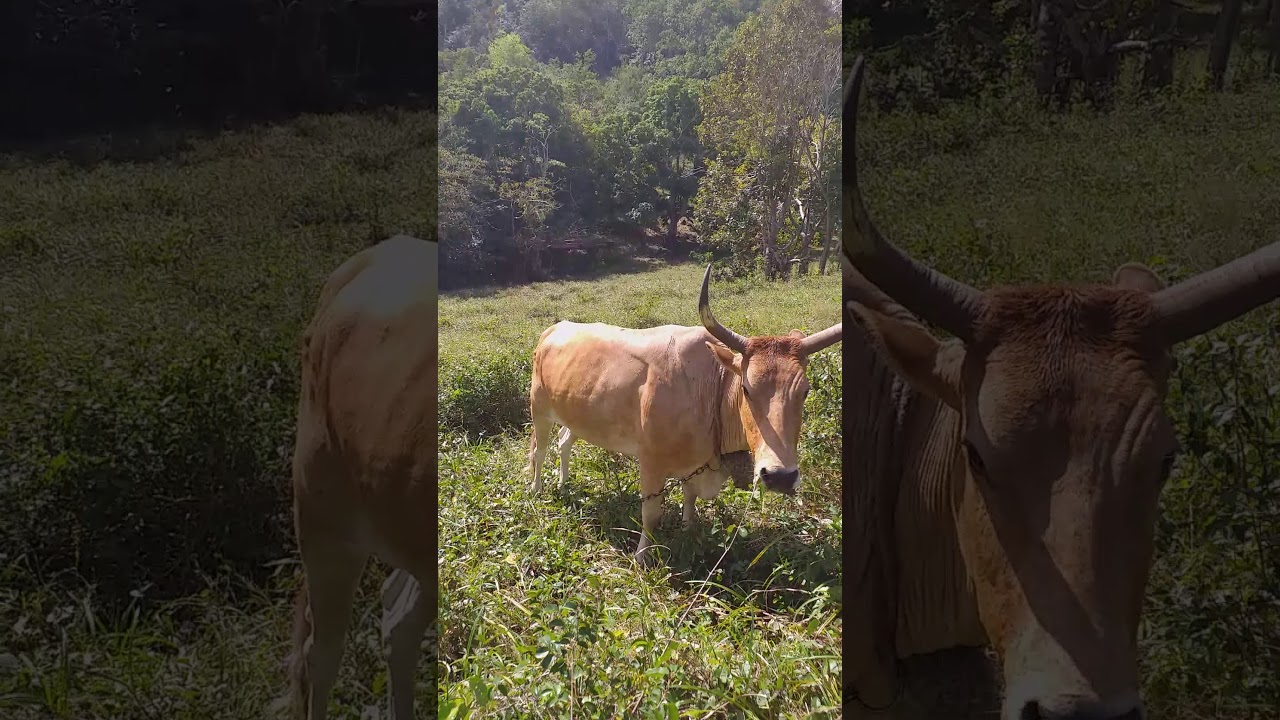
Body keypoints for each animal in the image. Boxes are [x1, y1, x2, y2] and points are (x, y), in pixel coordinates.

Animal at [524, 264, 843, 566]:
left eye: (805, 390)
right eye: (746, 388)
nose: (780, 476)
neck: (712, 386)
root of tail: (553, 329)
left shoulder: (694, 464)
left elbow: (690, 497)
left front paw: (689, 530)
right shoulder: (650, 462)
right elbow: (651, 512)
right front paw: (642, 557)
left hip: (574, 416)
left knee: (564, 443)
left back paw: (564, 483)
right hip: (538, 409)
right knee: (540, 452)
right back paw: (537, 489)